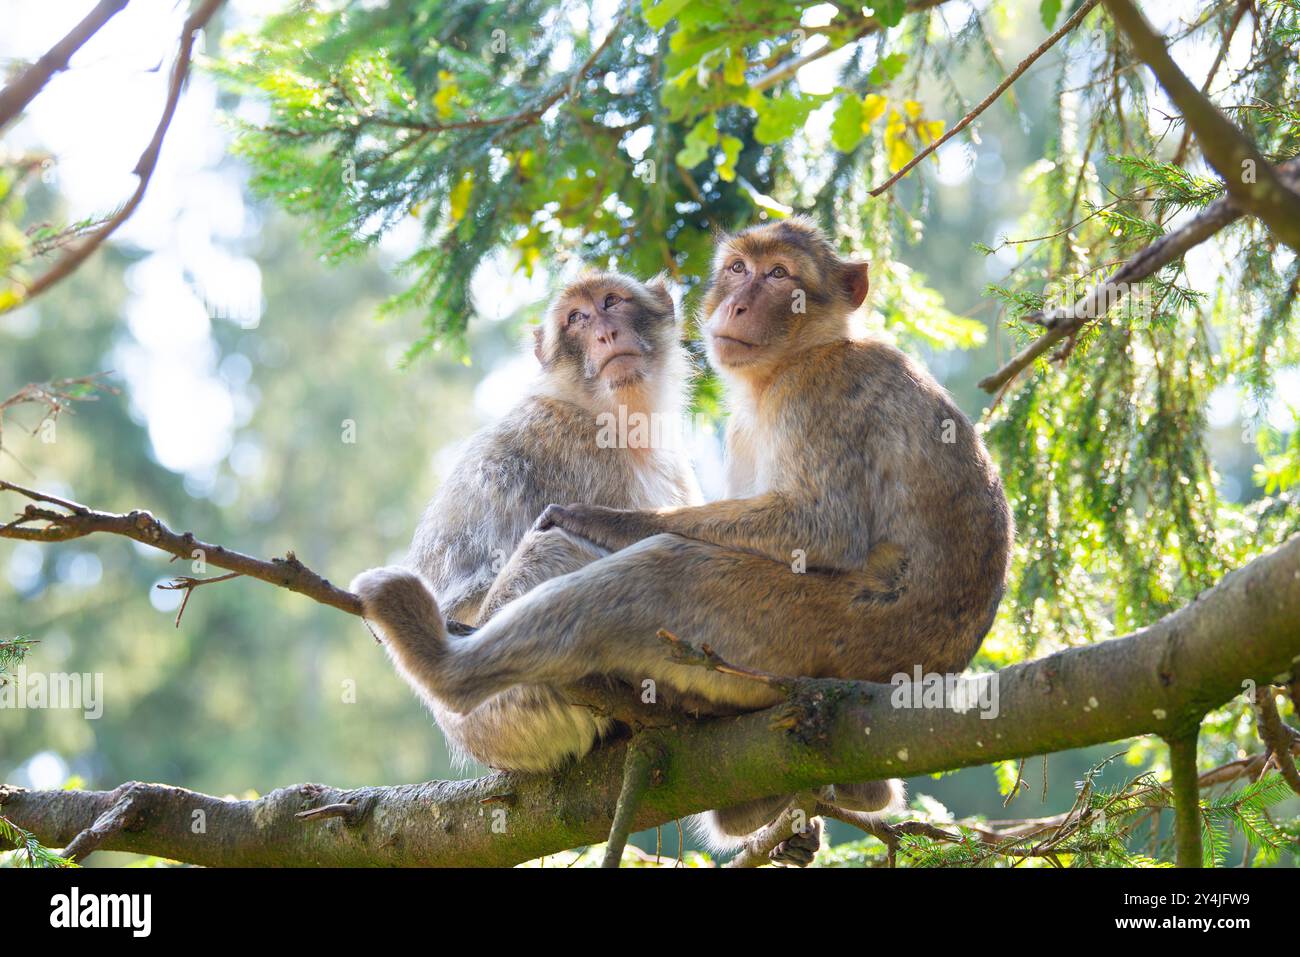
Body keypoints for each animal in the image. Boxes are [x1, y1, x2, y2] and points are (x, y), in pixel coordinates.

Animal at [375, 269, 700, 772]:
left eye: (611, 302)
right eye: (577, 319)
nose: (605, 333)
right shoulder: (580, 453)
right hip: (510, 709)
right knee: (557, 549)